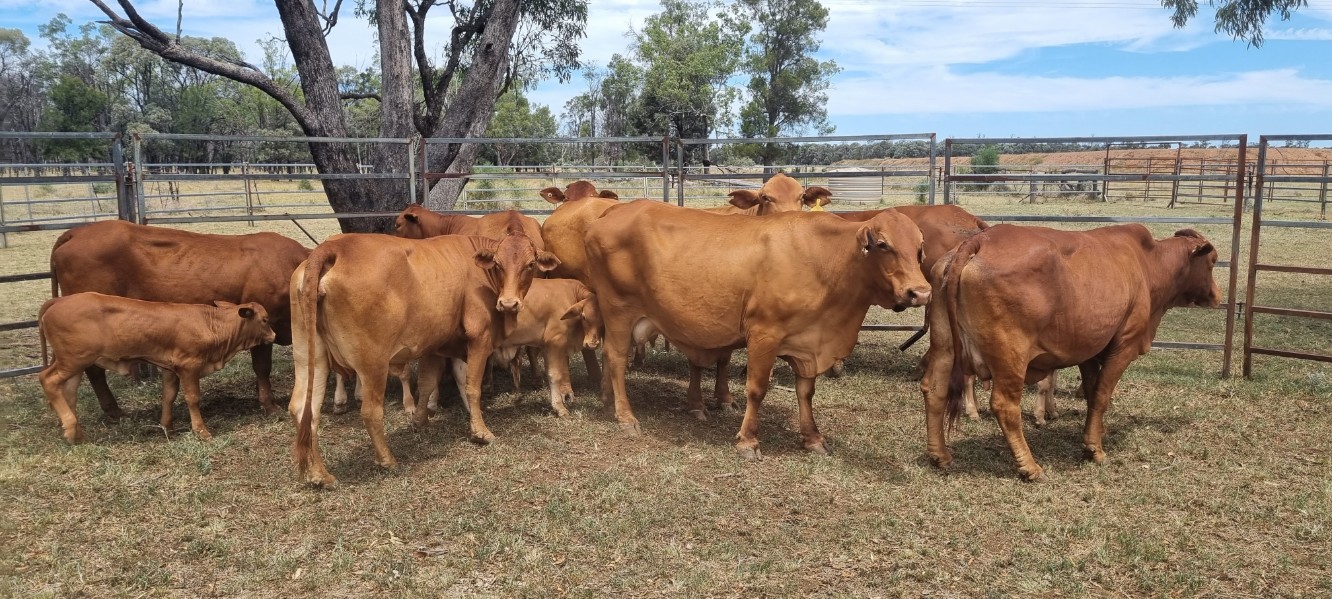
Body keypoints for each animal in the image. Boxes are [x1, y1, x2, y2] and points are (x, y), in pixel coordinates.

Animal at [38, 293, 276, 443]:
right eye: (265, 319)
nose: (274, 335)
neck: (211, 324)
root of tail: (58, 301)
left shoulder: (170, 369)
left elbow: (168, 396)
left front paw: (167, 426)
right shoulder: (189, 366)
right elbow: (192, 398)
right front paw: (201, 430)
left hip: (75, 365)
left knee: (68, 392)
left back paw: (77, 434)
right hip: (73, 360)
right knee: (47, 380)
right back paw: (70, 427)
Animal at [49, 220, 309, 418]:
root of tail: (78, 231)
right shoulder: (263, 325)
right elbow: (262, 367)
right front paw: (269, 404)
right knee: (94, 370)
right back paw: (114, 412)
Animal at [289, 217, 559, 487]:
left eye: (530, 264)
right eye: (499, 264)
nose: (509, 303)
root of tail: (334, 247)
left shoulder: (435, 345)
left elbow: (427, 382)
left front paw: (420, 421)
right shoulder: (479, 339)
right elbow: (472, 387)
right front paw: (480, 431)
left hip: (310, 358)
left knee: (305, 410)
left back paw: (319, 475)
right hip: (373, 364)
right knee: (370, 411)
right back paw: (387, 460)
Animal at [584, 201, 931, 458]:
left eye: (919, 248)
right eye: (883, 245)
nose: (921, 292)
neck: (826, 260)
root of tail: (613, 212)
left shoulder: (808, 342)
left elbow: (806, 392)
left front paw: (813, 438)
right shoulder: (765, 334)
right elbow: (757, 388)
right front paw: (748, 441)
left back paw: (607, 402)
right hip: (618, 310)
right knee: (615, 358)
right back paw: (626, 416)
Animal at [919, 225, 1221, 481]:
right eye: (1213, 261)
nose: (1217, 296)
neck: (1148, 263)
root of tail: (981, 240)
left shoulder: (1089, 351)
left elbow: (1090, 392)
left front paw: (1095, 433)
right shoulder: (1124, 346)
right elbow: (1101, 396)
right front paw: (1094, 449)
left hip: (944, 344)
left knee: (934, 390)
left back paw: (940, 455)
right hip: (1011, 357)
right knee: (1005, 405)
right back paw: (1030, 466)